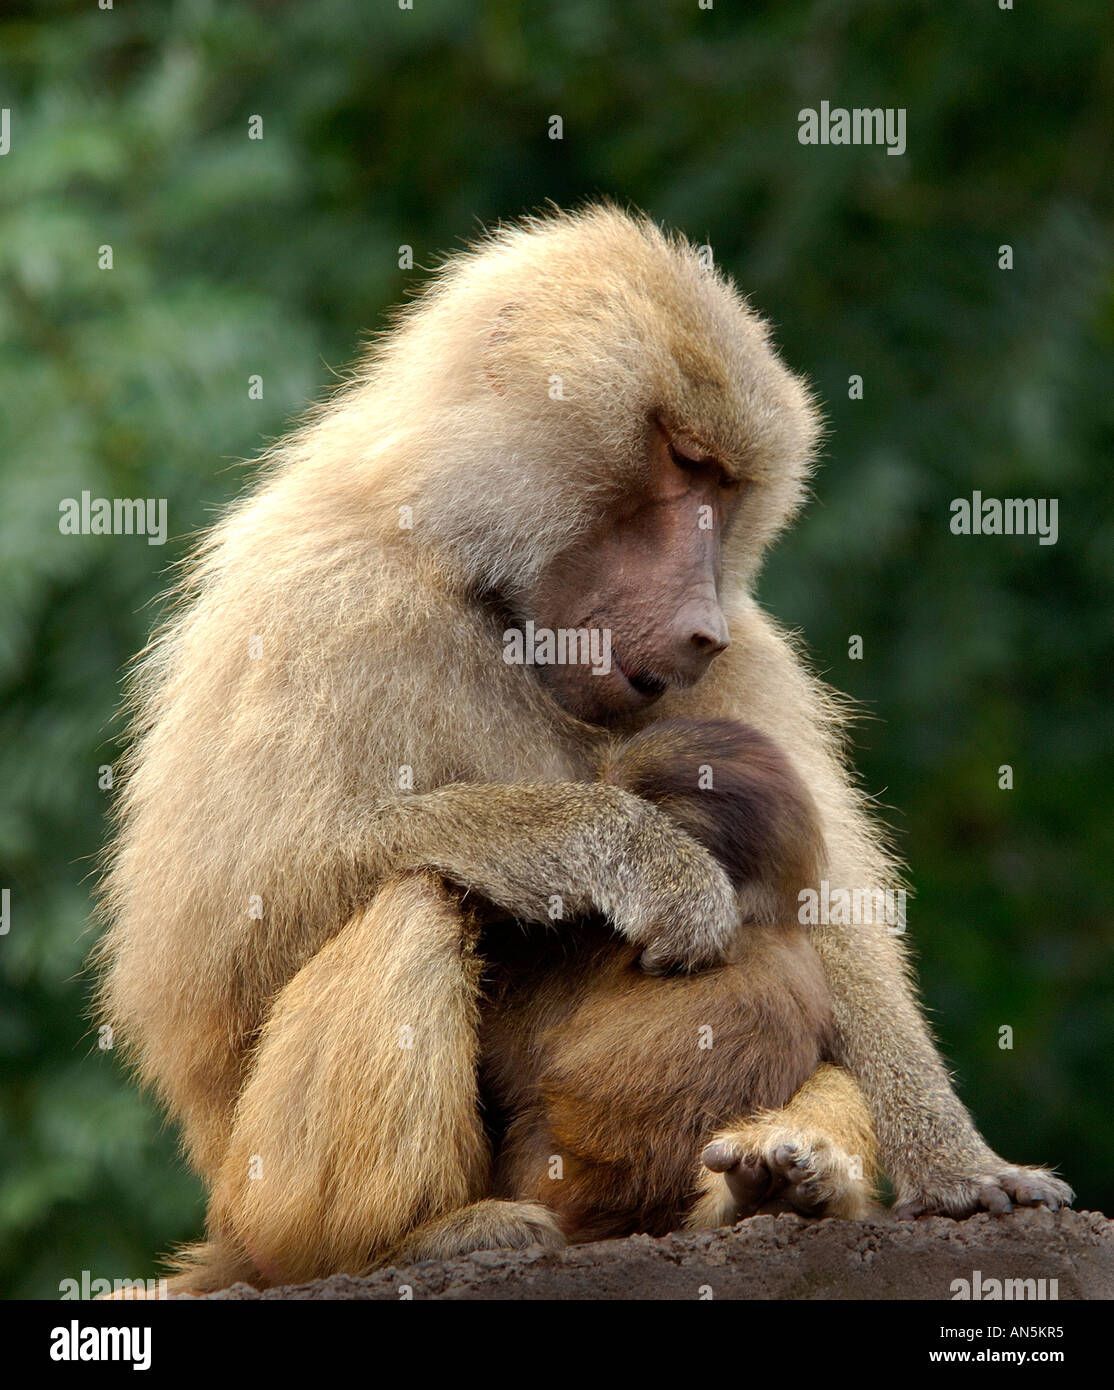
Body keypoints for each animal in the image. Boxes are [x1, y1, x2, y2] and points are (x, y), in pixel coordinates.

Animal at [94, 204, 1071, 1294]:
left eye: (726, 488)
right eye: (683, 462)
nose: (700, 627)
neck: (493, 602)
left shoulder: (741, 663)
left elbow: (816, 903)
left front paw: (956, 1165)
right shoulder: (310, 602)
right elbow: (215, 951)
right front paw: (631, 852)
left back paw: (781, 1180)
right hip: (263, 1192)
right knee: (416, 898)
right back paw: (411, 1238)